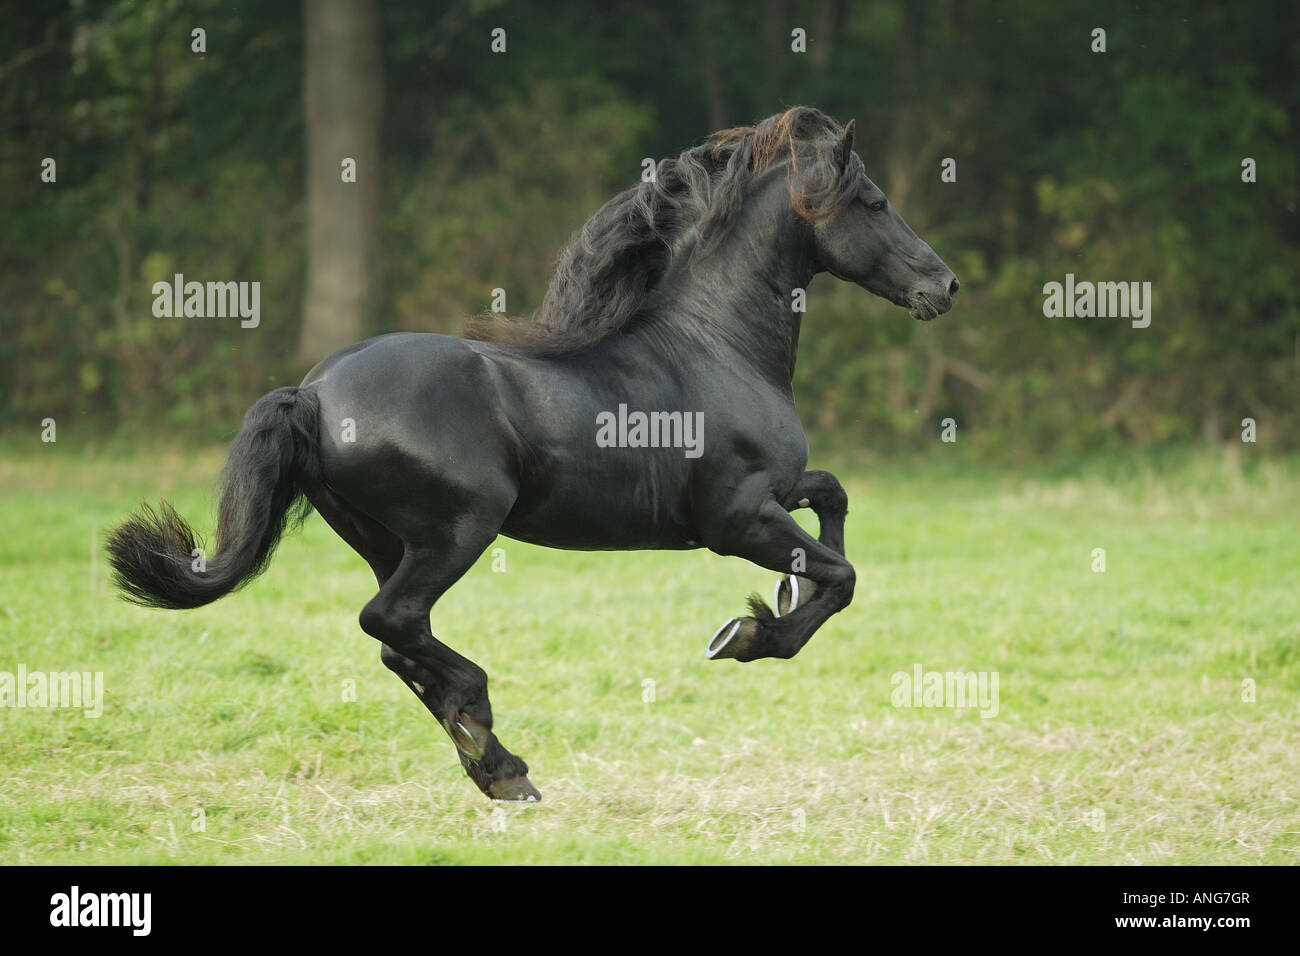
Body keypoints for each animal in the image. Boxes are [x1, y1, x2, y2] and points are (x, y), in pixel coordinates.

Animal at [107, 106, 959, 801]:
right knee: (392, 623)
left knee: (399, 646)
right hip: (458, 531)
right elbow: (841, 576)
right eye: (874, 202)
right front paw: (746, 635)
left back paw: (495, 765)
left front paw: (781, 595)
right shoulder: (737, 519)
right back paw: (494, 746)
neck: (717, 346)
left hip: (388, 542)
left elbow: (834, 500)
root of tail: (312, 396)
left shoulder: (774, 495)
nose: (944, 286)